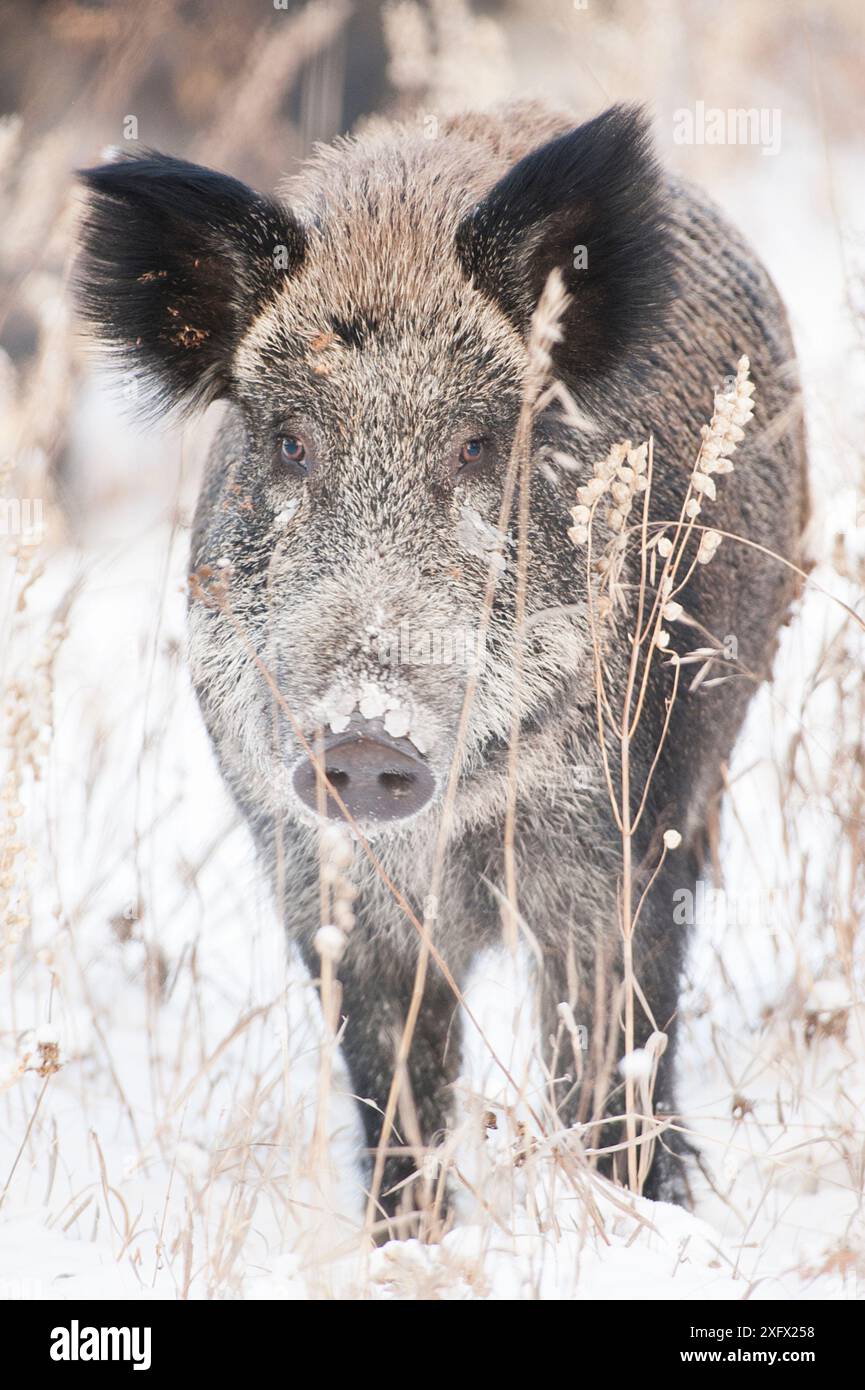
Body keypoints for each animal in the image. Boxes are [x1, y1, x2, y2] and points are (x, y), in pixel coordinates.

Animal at [74, 101, 808, 1222]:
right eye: (289, 443)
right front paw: (405, 1236)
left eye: (475, 445)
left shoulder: (620, 838)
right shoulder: (319, 870)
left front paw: (643, 1208)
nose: (366, 739)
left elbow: (611, 1048)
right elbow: (396, 1077)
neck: (454, 826)